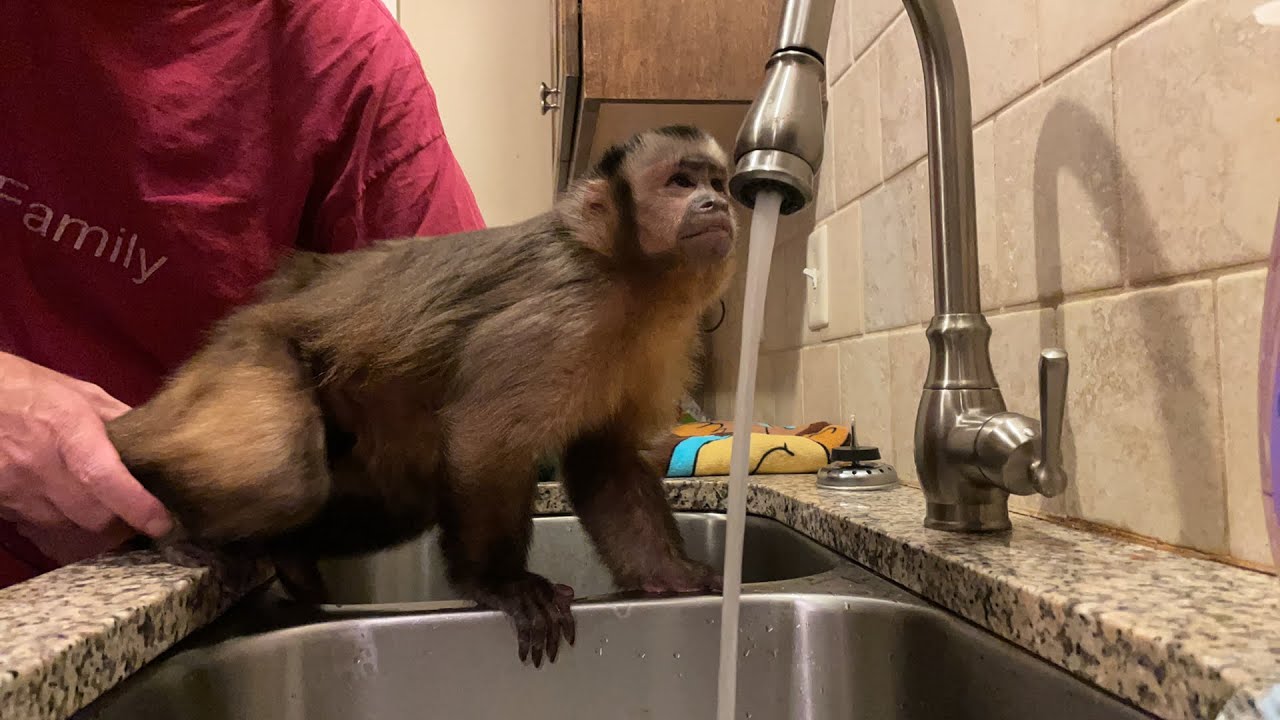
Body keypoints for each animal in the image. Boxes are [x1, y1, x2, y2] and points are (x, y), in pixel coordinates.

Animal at [103, 125, 738, 668]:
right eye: (682, 183)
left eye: (719, 183)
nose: (718, 206)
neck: (628, 277)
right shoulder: (563, 318)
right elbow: (485, 434)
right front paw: (499, 583)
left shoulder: (663, 336)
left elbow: (604, 459)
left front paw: (672, 575)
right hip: (246, 357)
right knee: (284, 479)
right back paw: (160, 508)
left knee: (399, 494)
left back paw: (291, 556)